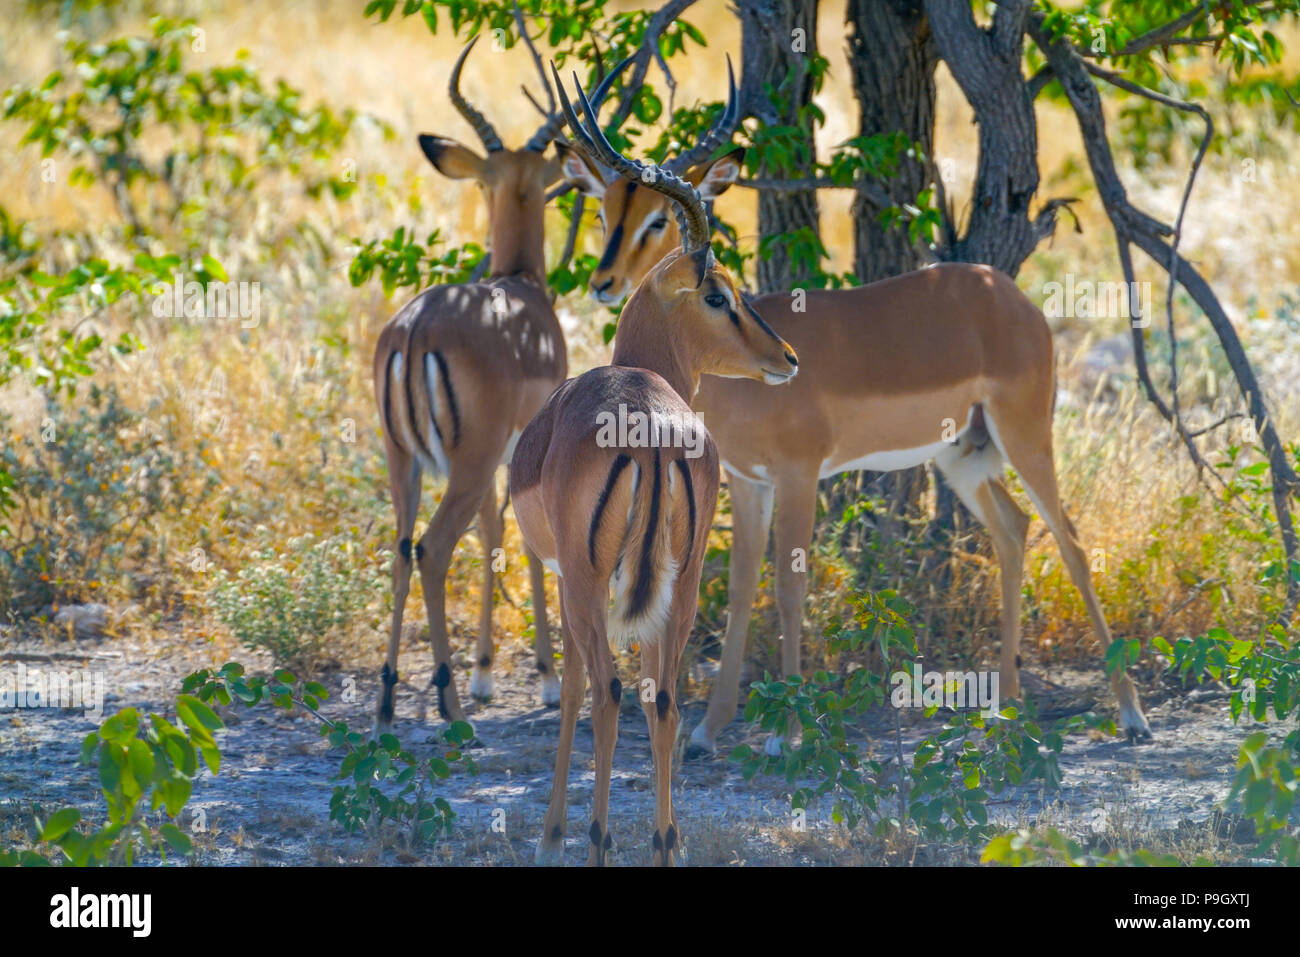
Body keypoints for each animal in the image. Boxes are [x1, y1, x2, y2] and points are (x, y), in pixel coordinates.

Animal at [372, 37, 621, 731]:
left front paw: (486, 674)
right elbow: (528, 545)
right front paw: (542, 680)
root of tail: (414, 332)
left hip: (404, 460)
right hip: (467, 461)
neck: (522, 286)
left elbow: (492, 532)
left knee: (400, 550)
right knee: (430, 550)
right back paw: (451, 709)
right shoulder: (517, 453)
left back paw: (387, 702)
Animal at [510, 61, 798, 865]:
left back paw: (600, 837)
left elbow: (574, 690)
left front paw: (553, 832)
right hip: (685, 582)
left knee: (610, 694)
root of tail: (651, 430)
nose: (788, 357)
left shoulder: (567, 578)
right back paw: (667, 839)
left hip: (593, 583)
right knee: (663, 700)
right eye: (718, 293)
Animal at [561, 109, 1153, 755]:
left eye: (658, 218)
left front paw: (787, 734)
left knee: (1070, 541)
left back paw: (1132, 716)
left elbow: (789, 588)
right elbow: (743, 587)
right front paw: (706, 731)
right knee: (1015, 530)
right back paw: (1008, 708)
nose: (603, 281)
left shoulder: (798, 475)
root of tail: (1010, 294)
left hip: (1024, 434)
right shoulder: (750, 481)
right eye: (602, 211)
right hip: (961, 456)